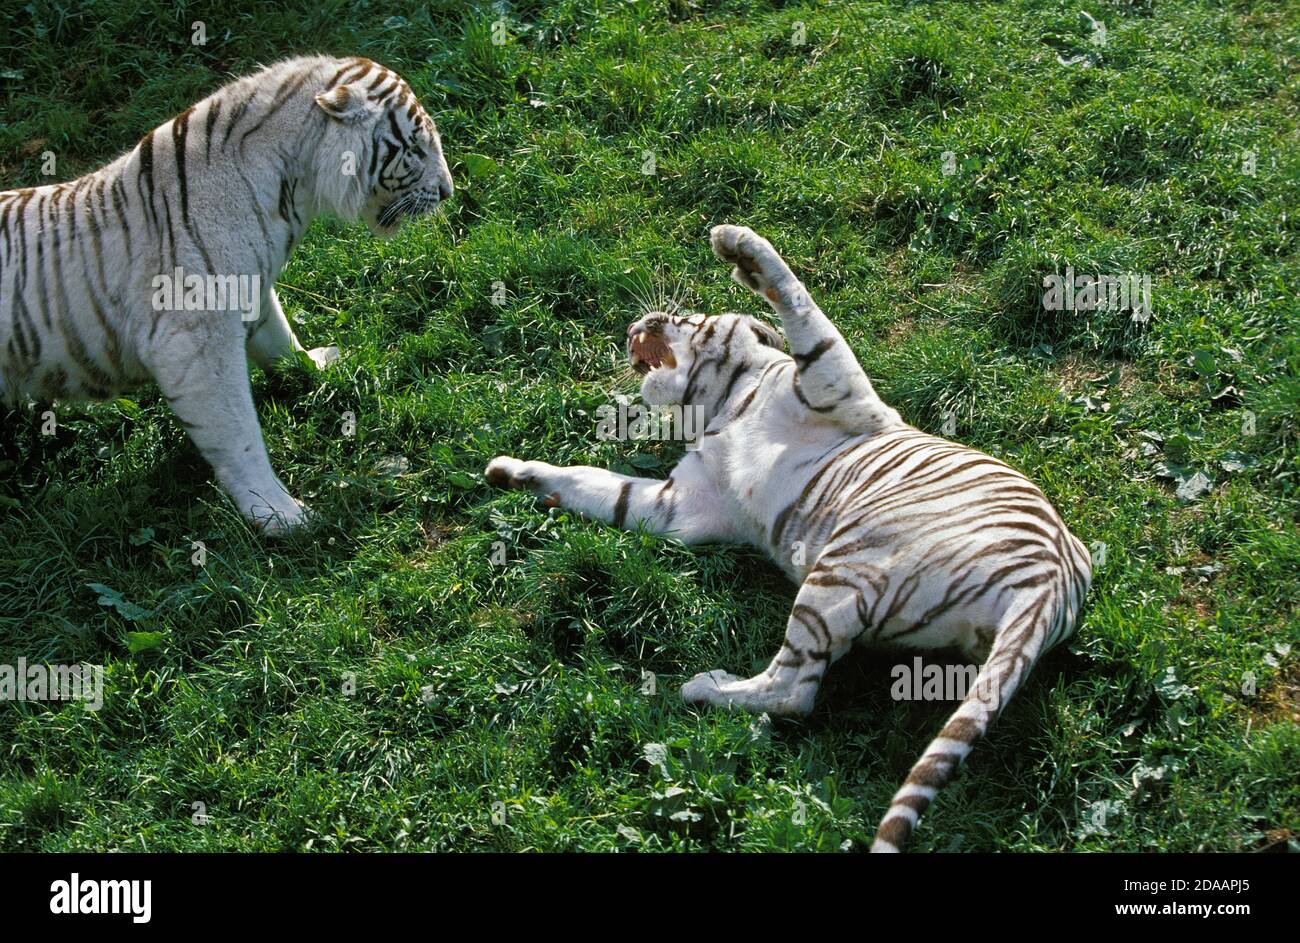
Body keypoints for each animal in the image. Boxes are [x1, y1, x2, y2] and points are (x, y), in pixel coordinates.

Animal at [0, 55, 453, 532]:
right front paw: (279, 513)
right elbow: (238, 431)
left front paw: (319, 367)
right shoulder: (194, 336)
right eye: (416, 147)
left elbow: (281, 339)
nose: (448, 191)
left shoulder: (251, 287)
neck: (294, 186)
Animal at [485, 224, 1092, 852]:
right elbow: (599, 485)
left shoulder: (835, 384)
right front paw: (514, 473)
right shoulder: (681, 508)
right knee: (795, 688)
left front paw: (737, 247)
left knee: (794, 691)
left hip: (842, 568)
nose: (636, 324)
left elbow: (798, 302)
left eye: (685, 316)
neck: (723, 406)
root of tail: (1050, 591)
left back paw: (702, 688)